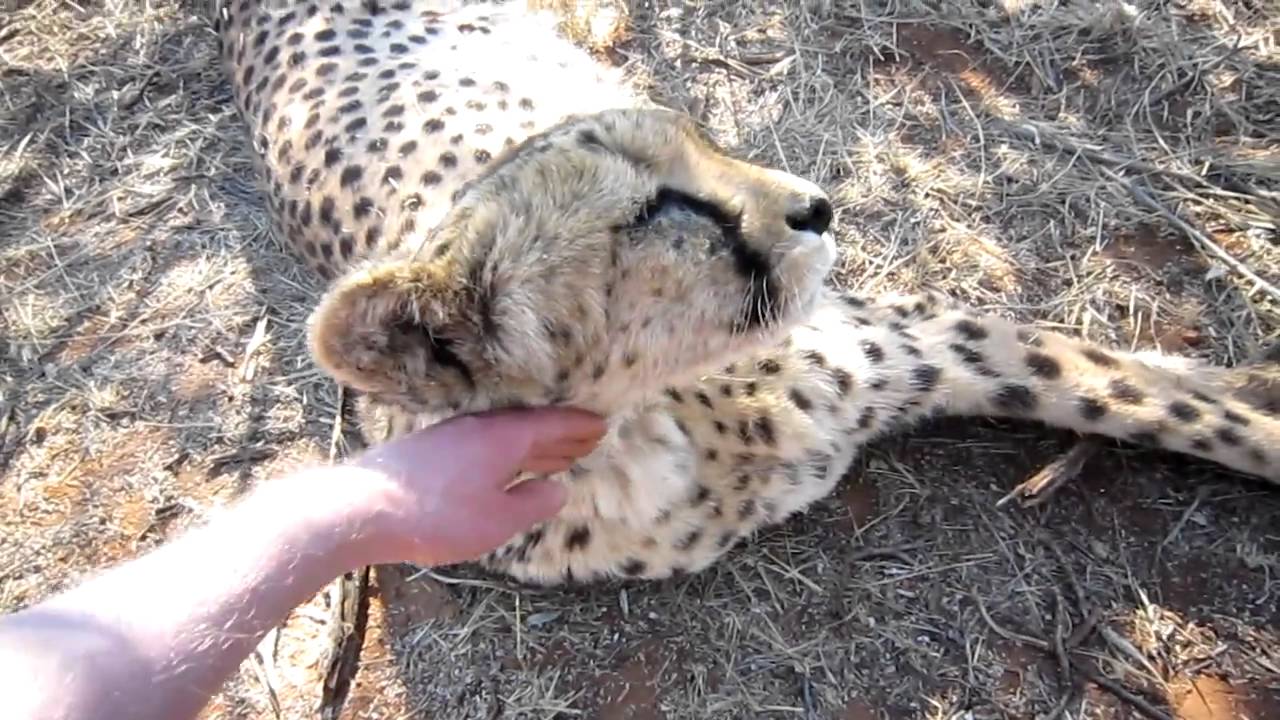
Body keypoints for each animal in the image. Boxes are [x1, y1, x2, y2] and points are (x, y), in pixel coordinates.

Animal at [215, 0, 1280, 586]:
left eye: (701, 138)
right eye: (661, 211)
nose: (820, 206)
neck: (646, 422)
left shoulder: (918, 338)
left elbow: (1162, 402)